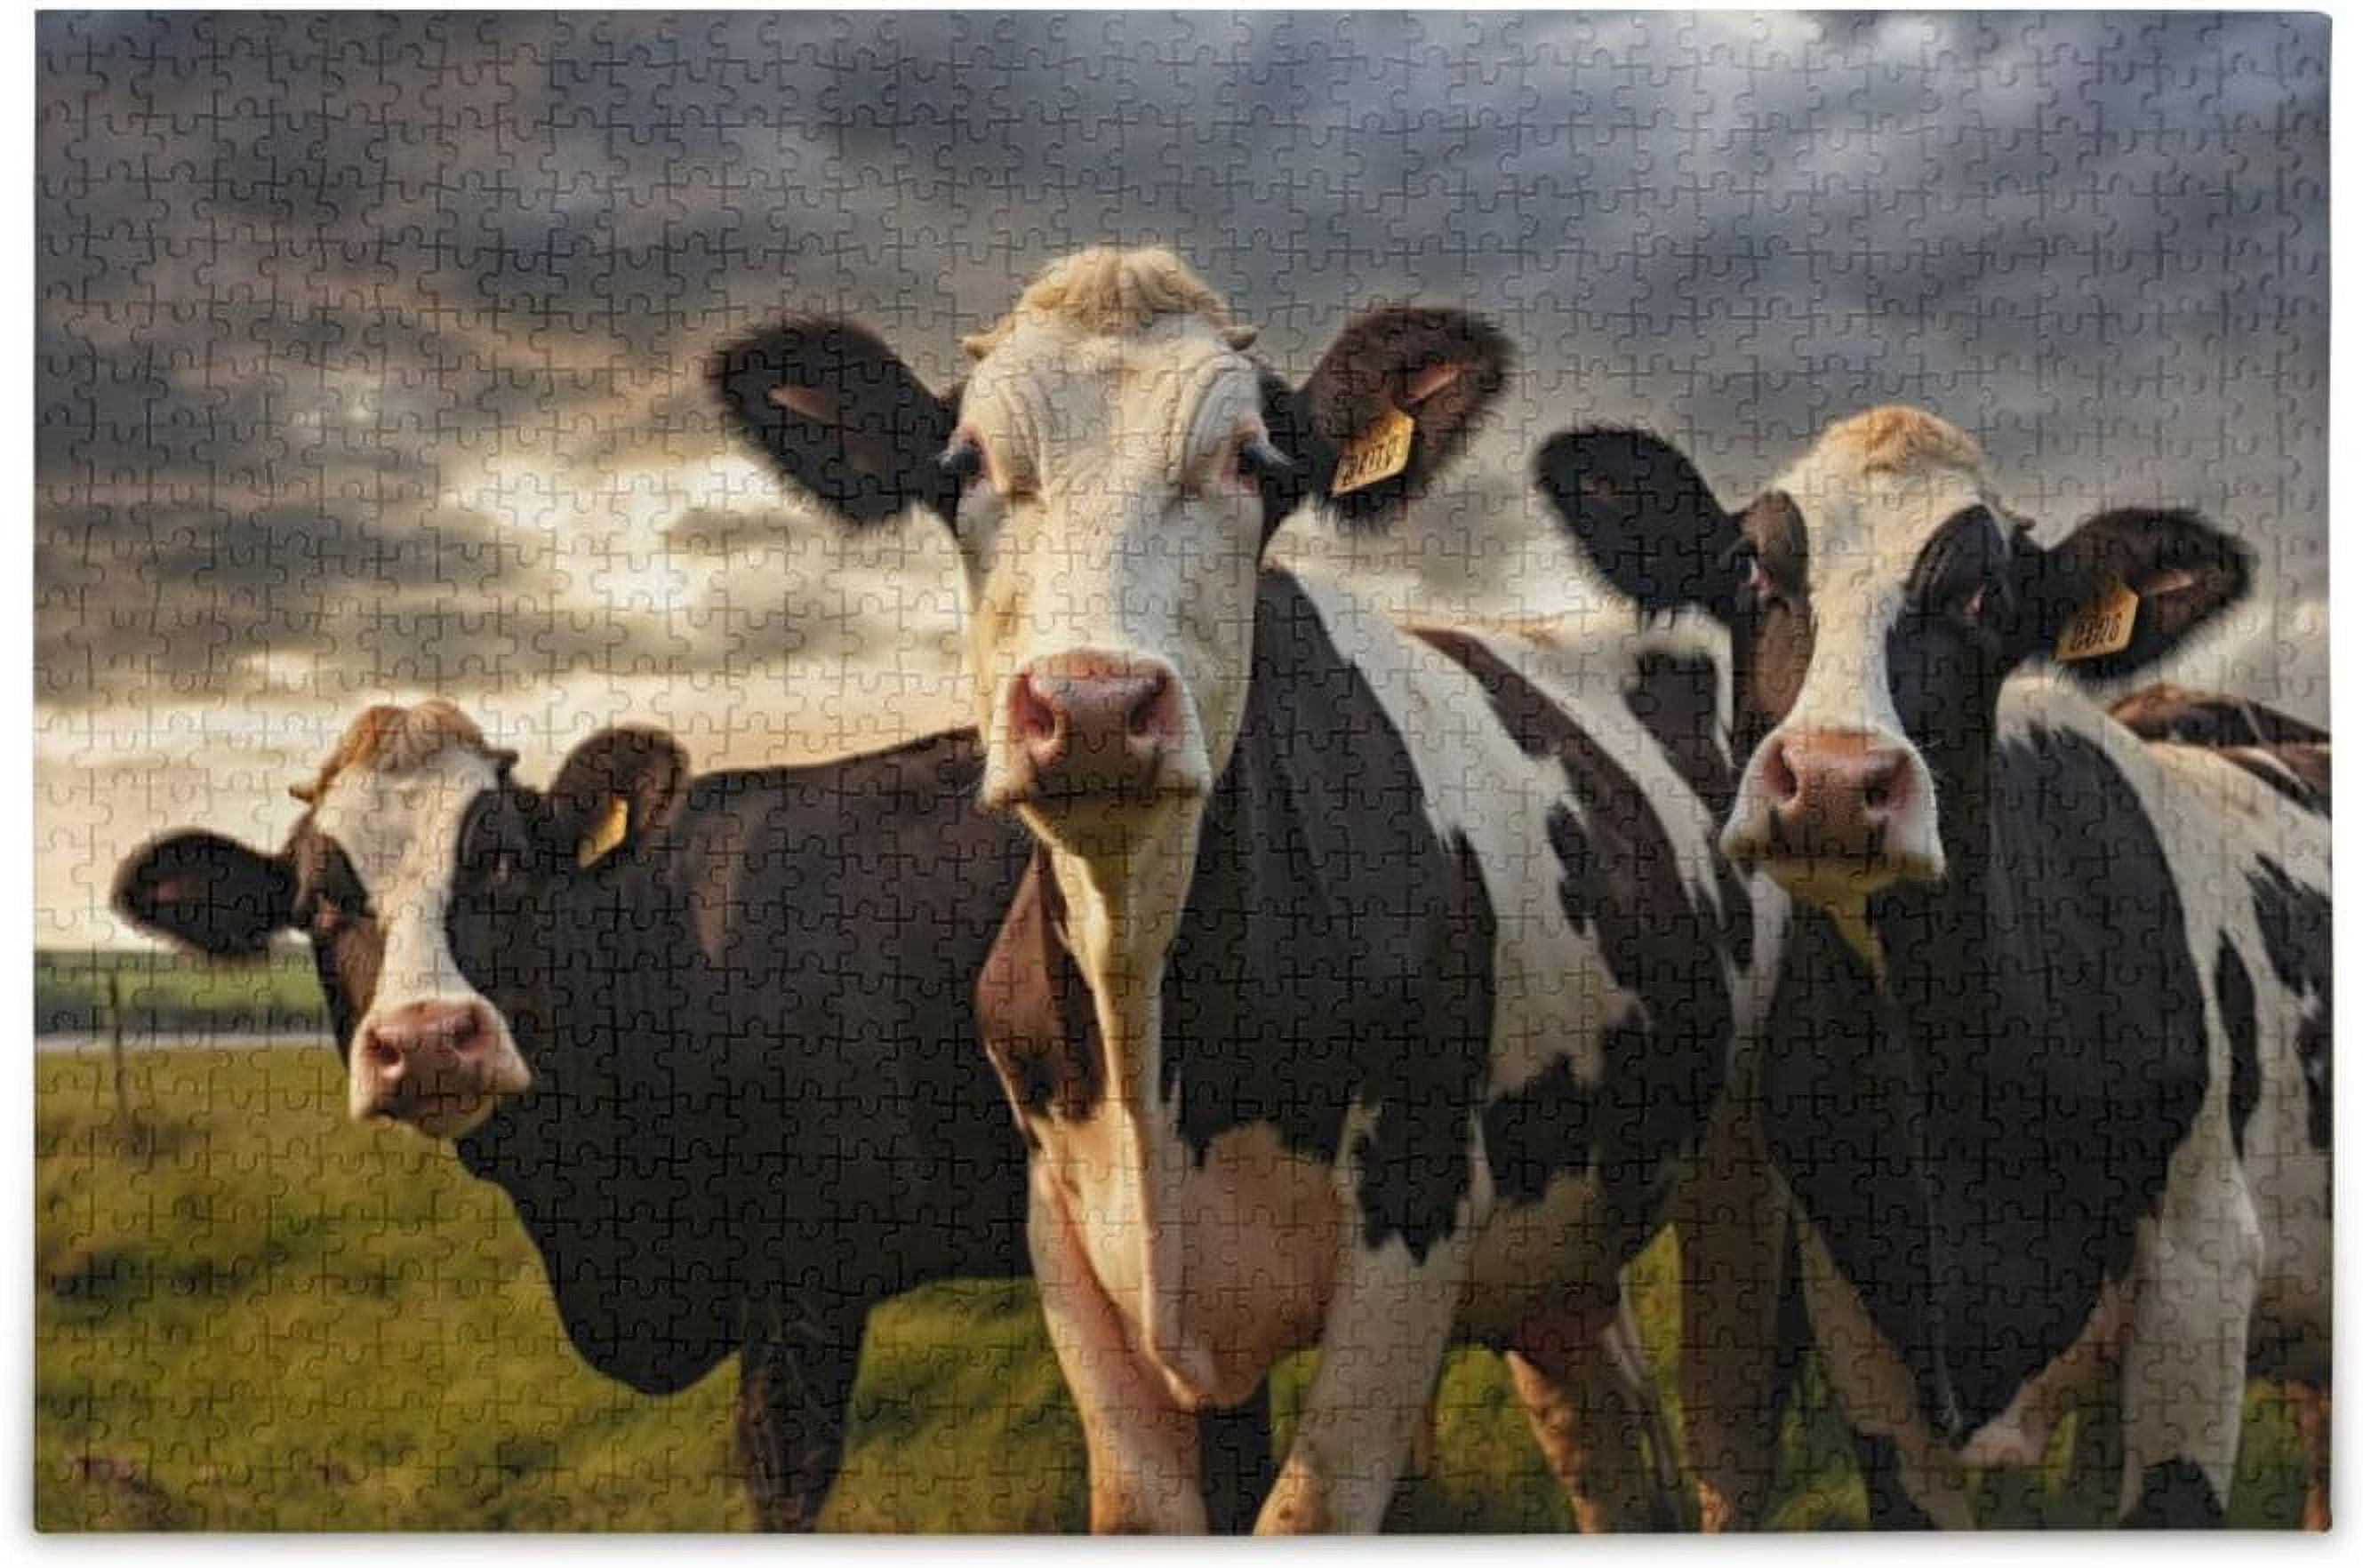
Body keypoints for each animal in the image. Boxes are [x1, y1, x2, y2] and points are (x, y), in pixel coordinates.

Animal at [711, 245, 1779, 1533]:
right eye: (960, 468)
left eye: (1253, 464)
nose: (1092, 706)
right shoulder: (1068, 1249)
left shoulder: (1411, 1219)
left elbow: (1307, 1510)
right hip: (1563, 1243)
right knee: (1607, 1437)